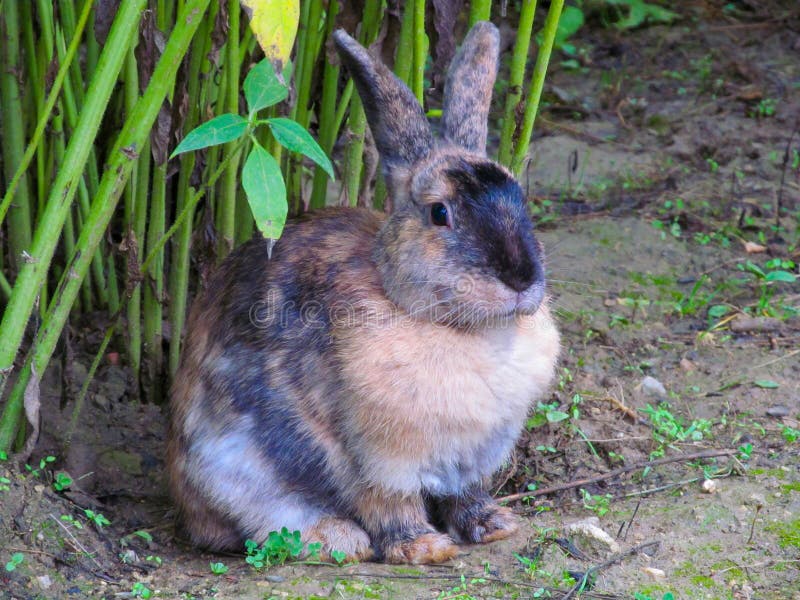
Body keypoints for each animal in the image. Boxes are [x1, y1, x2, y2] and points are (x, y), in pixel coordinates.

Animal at [166, 21, 560, 565]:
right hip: (234, 471)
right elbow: (388, 503)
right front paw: (425, 549)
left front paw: (496, 526)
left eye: (519, 197)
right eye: (440, 213)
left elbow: (466, 495)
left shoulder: (469, 461)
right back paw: (337, 539)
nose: (522, 280)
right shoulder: (374, 457)